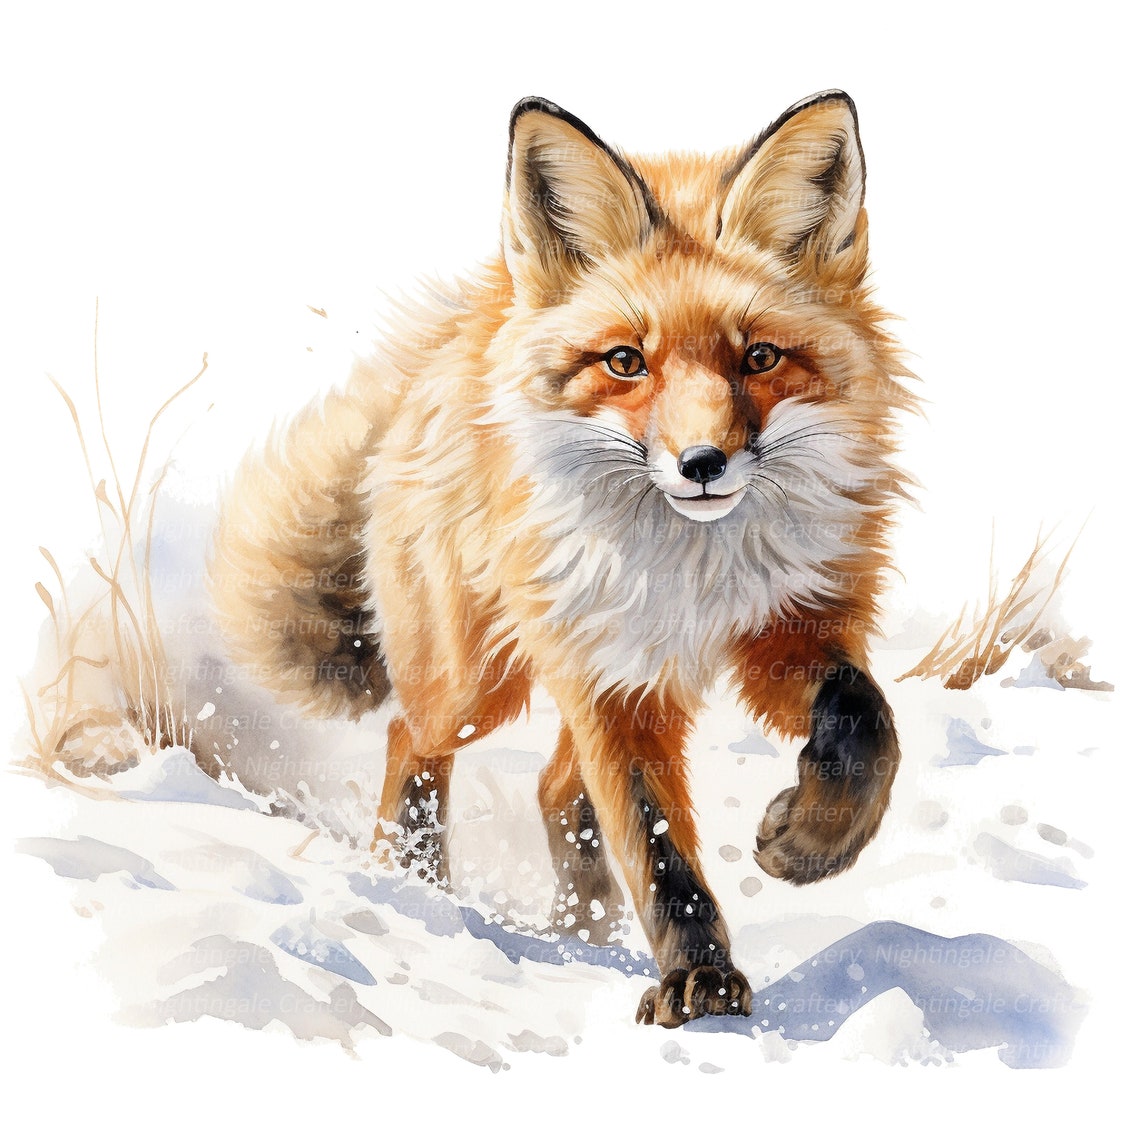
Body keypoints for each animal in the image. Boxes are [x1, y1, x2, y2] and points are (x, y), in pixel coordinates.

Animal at [209, 90, 911, 1028]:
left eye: (759, 357)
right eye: (625, 361)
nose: (702, 464)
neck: (695, 572)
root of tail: (472, 323)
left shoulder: (784, 629)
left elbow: (866, 723)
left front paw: (811, 841)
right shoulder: (611, 681)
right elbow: (658, 847)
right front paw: (699, 979)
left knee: (552, 788)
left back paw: (581, 924)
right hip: (480, 683)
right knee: (409, 734)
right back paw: (414, 880)